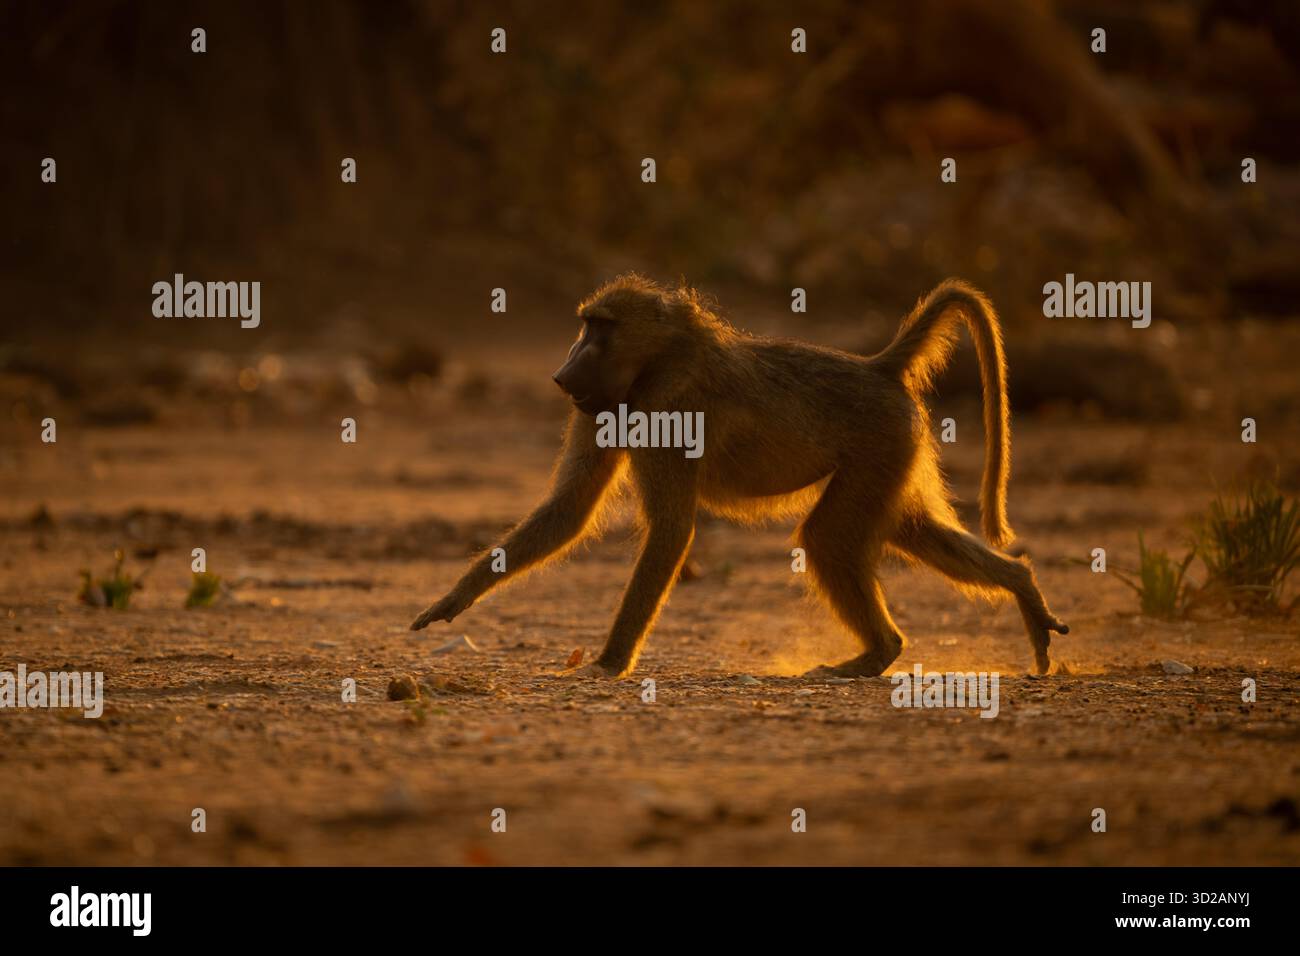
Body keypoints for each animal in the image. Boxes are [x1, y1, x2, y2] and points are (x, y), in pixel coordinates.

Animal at [410, 274, 1069, 678]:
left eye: (599, 330)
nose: (560, 372)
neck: (662, 358)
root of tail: (879, 366)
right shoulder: (603, 407)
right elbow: (569, 510)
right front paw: (452, 599)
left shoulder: (666, 408)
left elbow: (671, 530)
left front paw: (609, 663)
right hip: (892, 452)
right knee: (906, 529)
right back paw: (1019, 591)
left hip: (881, 444)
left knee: (827, 540)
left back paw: (875, 654)